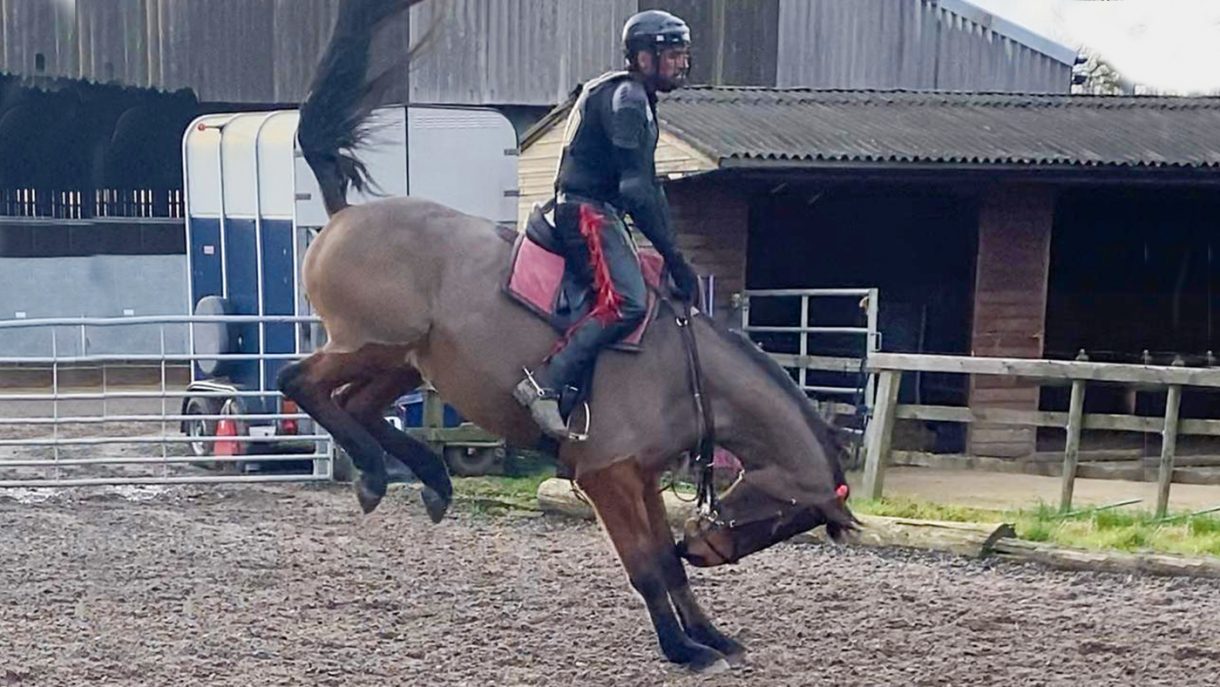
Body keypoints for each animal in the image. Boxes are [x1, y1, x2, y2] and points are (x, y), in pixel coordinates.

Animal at [278, 0, 858, 673]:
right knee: (298, 381)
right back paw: (375, 472)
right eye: (779, 520)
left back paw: (428, 480)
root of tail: (346, 214)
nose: (704, 550)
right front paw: (682, 648)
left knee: (359, 405)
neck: (688, 369)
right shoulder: (607, 474)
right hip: (367, 345)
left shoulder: (641, 476)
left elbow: (665, 564)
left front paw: (708, 635)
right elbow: (647, 566)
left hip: (404, 360)